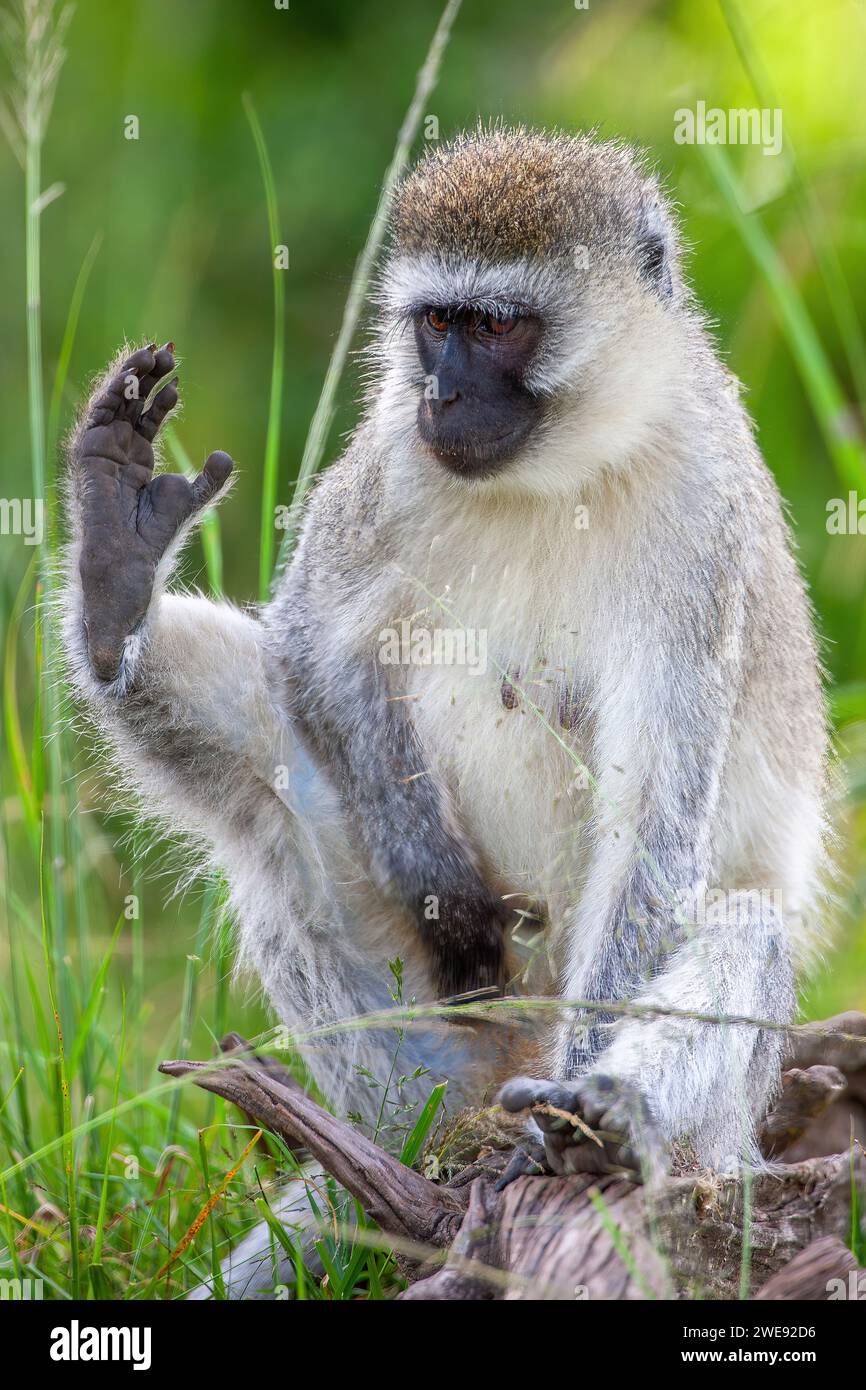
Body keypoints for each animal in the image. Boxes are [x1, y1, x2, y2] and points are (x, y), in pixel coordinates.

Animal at [61, 126, 828, 1291]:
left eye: (499, 325)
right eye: (435, 325)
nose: (445, 401)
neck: (561, 469)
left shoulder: (706, 512)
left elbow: (654, 813)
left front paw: (591, 1102)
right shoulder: (388, 456)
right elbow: (312, 642)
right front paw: (438, 881)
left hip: (697, 1121)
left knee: (741, 927)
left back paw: (597, 1116)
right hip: (435, 1027)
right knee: (264, 802)